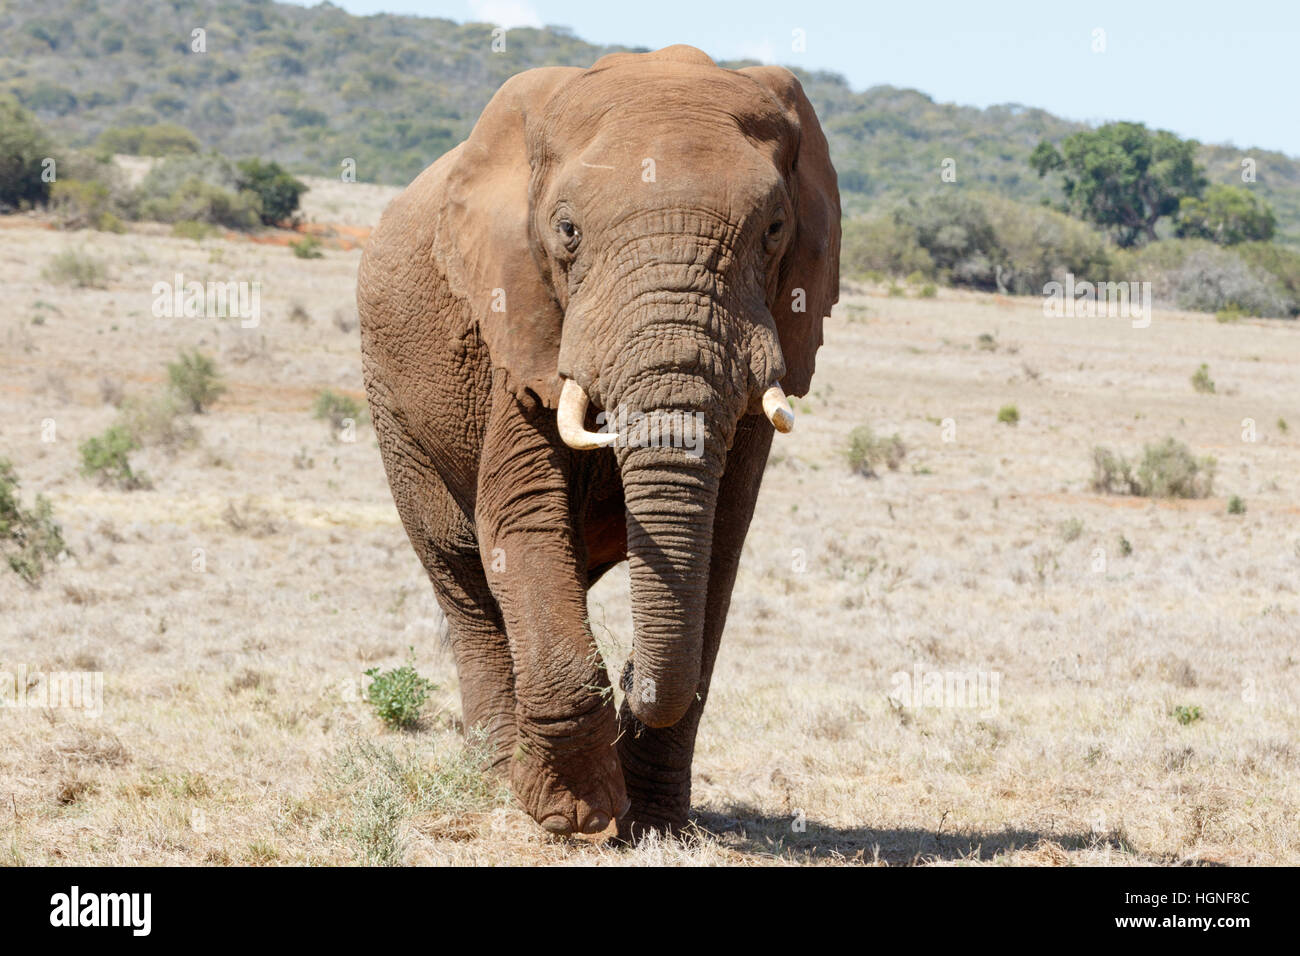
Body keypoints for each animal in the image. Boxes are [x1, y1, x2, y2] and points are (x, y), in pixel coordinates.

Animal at [357, 44, 840, 839]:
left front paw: (655, 824)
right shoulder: (518, 321)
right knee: (460, 571)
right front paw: (575, 813)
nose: (632, 675)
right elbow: (522, 518)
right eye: (567, 232)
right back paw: (497, 773)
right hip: (391, 403)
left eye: (774, 230)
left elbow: (720, 543)